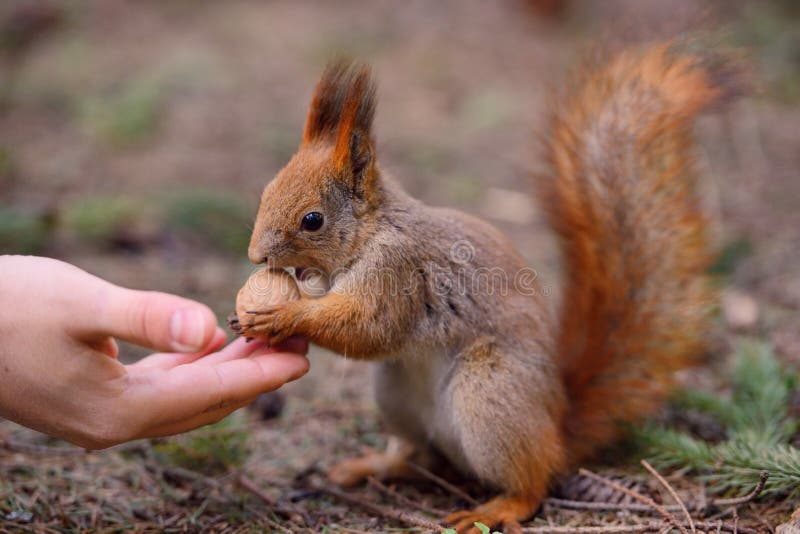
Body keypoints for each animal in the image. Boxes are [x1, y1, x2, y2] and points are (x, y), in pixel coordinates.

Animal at [234, 41, 741, 533]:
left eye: (312, 220)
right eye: (267, 191)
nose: (256, 255)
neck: (373, 230)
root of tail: (557, 430)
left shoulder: (399, 270)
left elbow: (370, 329)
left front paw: (283, 315)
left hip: (489, 395)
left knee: (531, 483)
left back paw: (498, 508)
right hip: (395, 394)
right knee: (419, 457)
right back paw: (371, 466)